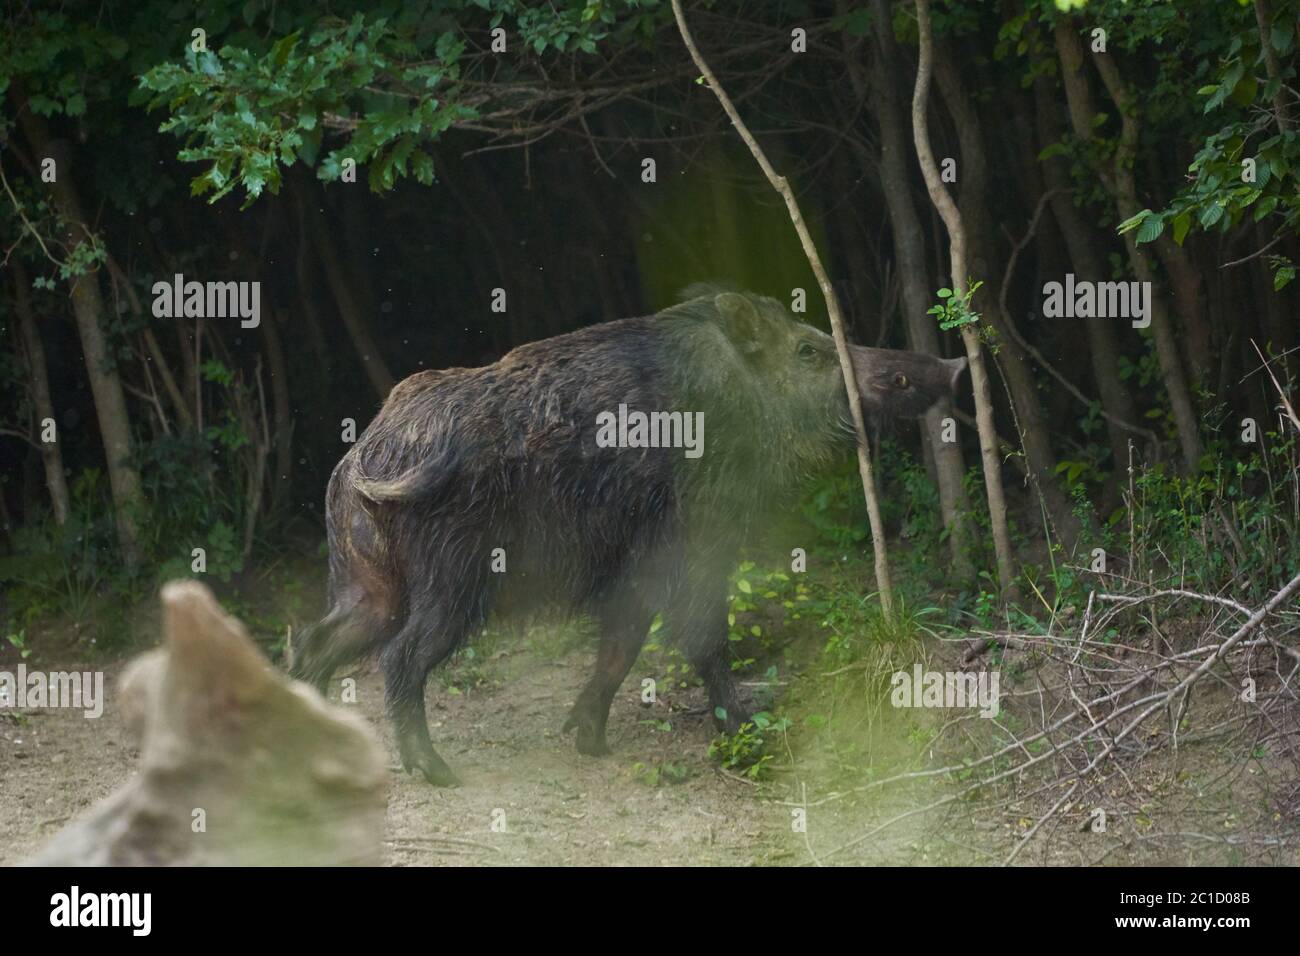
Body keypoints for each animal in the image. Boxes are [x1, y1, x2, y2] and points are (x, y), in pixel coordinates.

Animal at [290, 286, 965, 785]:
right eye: (807, 350)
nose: (954, 365)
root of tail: (366, 457)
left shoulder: (636, 564)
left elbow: (623, 641)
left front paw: (588, 743)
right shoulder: (697, 534)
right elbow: (701, 637)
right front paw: (746, 732)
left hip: (367, 578)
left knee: (320, 639)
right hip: (453, 575)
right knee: (400, 655)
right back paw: (439, 773)